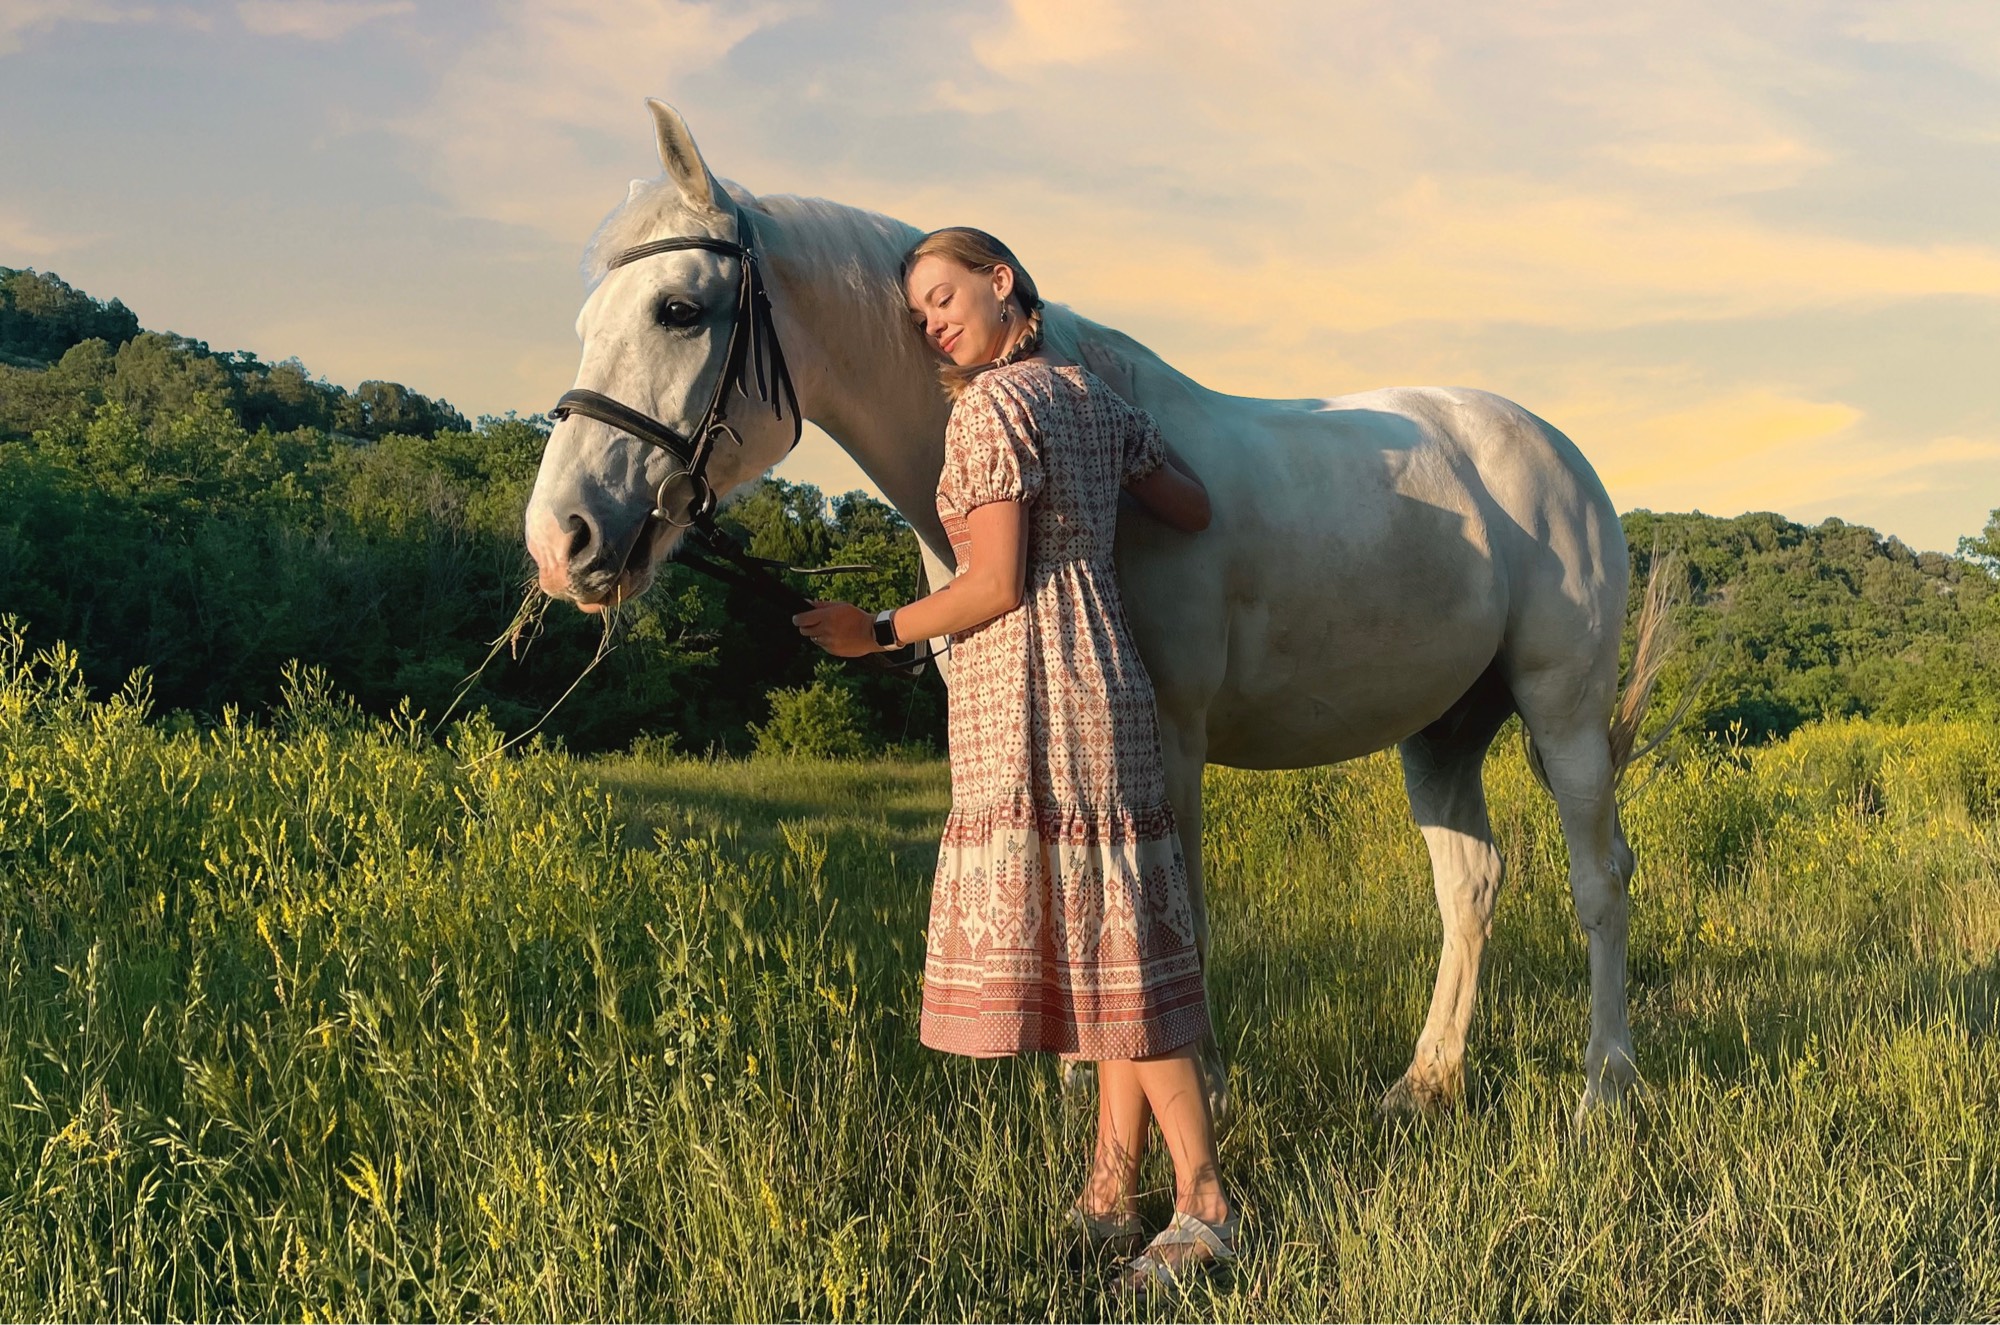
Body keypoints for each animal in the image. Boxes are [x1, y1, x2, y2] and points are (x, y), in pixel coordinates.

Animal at [524, 106, 1648, 1120]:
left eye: (678, 309)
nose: (557, 539)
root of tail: (1546, 444)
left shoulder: (1172, 737)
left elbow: (1176, 910)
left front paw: (1194, 1089)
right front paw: (1083, 1073)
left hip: (1562, 714)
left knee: (1598, 882)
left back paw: (1603, 1087)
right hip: (1440, 731)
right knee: (1470, 884)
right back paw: (1426, 1080)